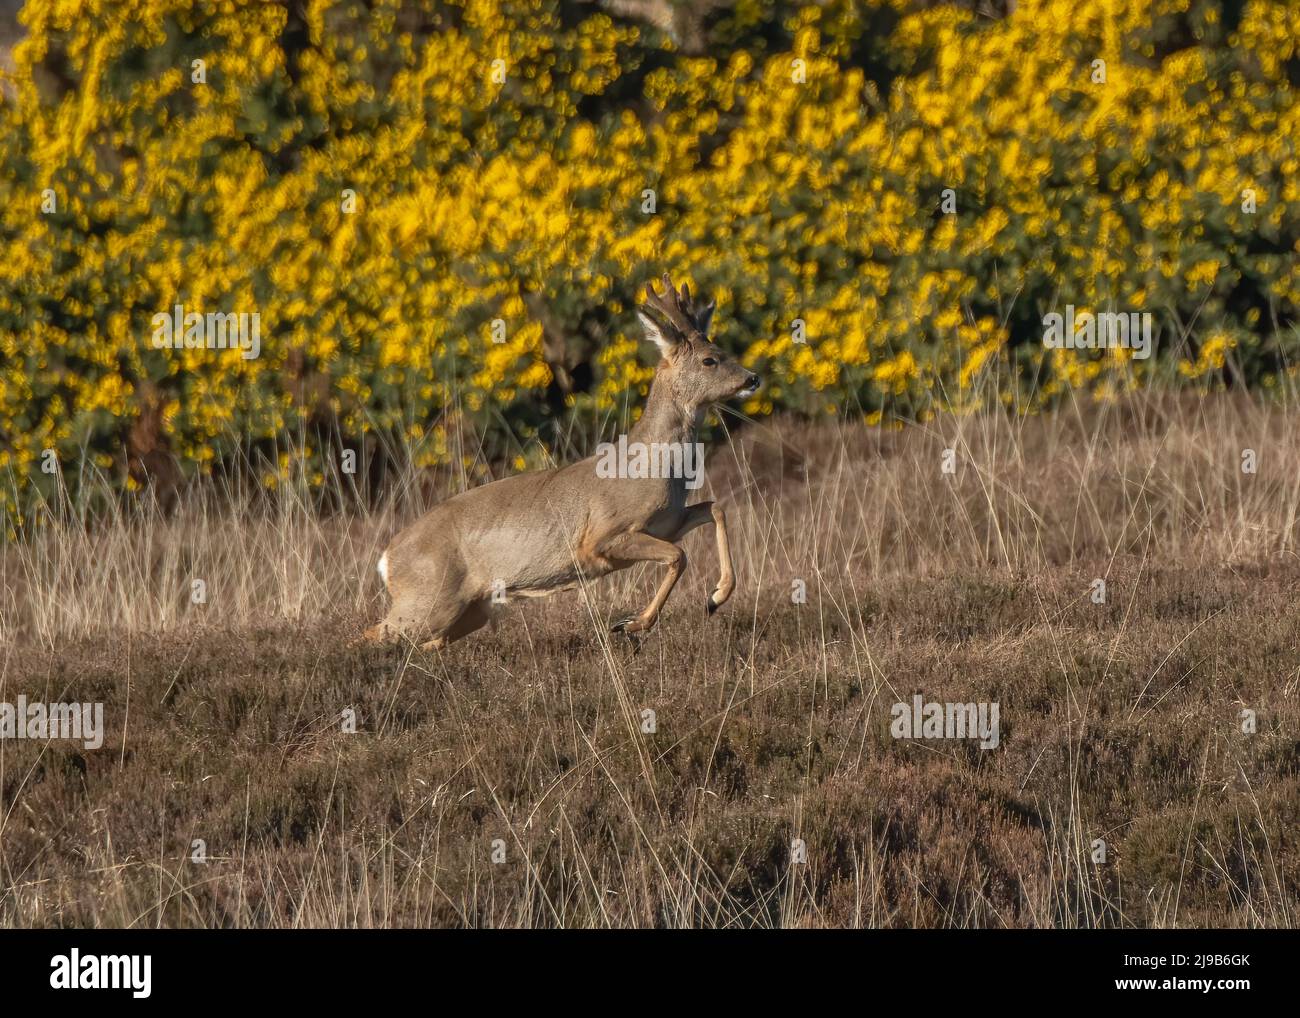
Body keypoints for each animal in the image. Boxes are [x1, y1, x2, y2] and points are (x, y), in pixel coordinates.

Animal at [361, 273, 761, 650]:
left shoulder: (670, 522)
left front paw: (716, 597)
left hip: (468, 612)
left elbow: (714, 508)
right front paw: (631, 624)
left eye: (722, 349)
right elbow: (679, 556)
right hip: (429, 601)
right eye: (709, 359)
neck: (653, 466)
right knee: (371, 634)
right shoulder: (603, 537)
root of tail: (386, 558)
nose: (753, 378)